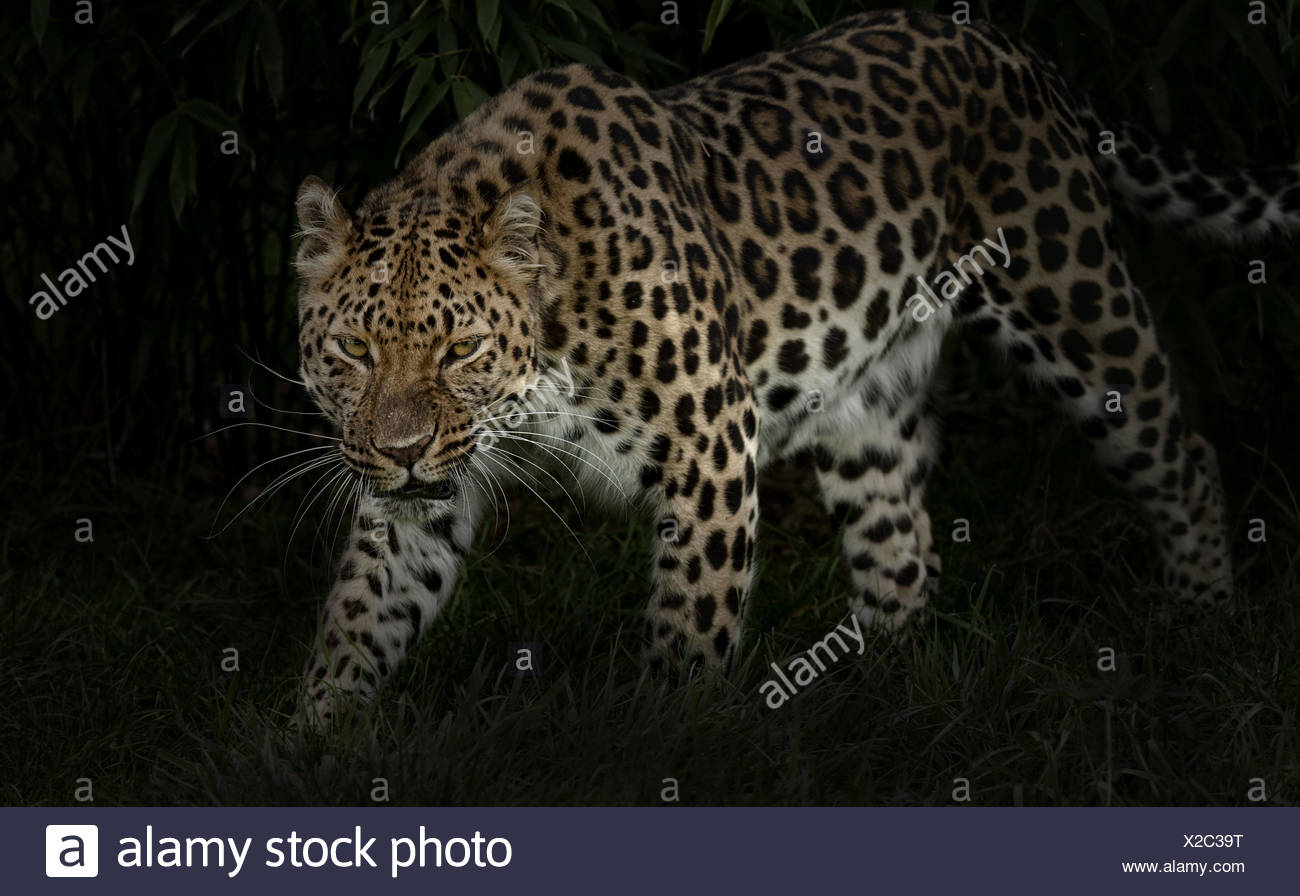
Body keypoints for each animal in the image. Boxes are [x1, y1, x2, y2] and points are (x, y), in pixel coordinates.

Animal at [290, 9, 1299, 725]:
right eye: (354, 350)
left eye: (461, 349)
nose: (403, 452)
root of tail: (1009, 43)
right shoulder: (423, 496)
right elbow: (360, 614)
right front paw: (312, 745)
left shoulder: (709, 443)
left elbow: (690, 631)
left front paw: (660, 748)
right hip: (868, 410)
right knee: (905, 549)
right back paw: (891, 698)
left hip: (1076, 302)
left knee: (1184, 455)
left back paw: (1201, 624)